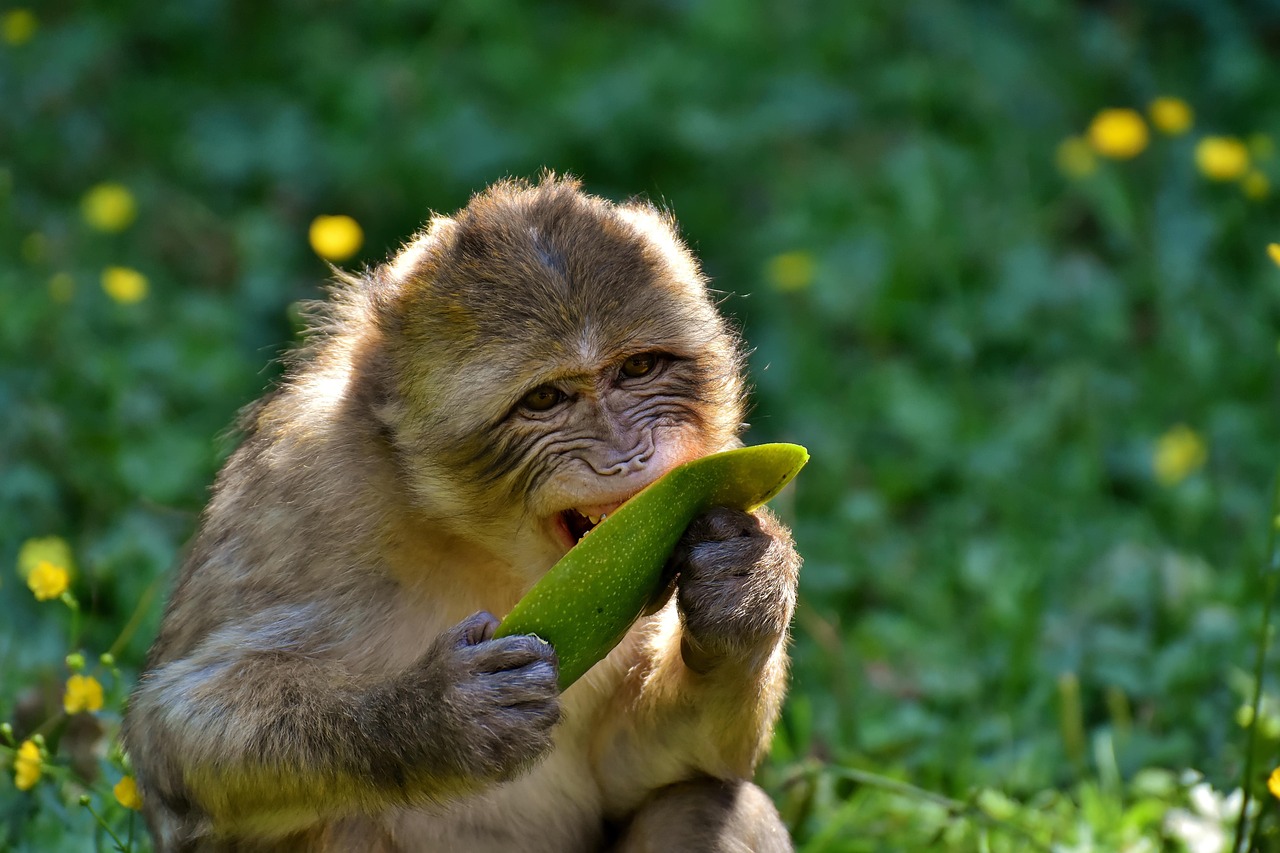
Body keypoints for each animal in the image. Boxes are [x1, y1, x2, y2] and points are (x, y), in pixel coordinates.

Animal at [122, 175, 801, 852]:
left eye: (637, 367)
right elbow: (169, 733)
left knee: (709, 801)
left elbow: (642, 768)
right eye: (544, 399)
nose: (627, 456)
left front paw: (743, 588)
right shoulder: (304, 493)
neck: (477, 540)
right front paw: (439, 718)